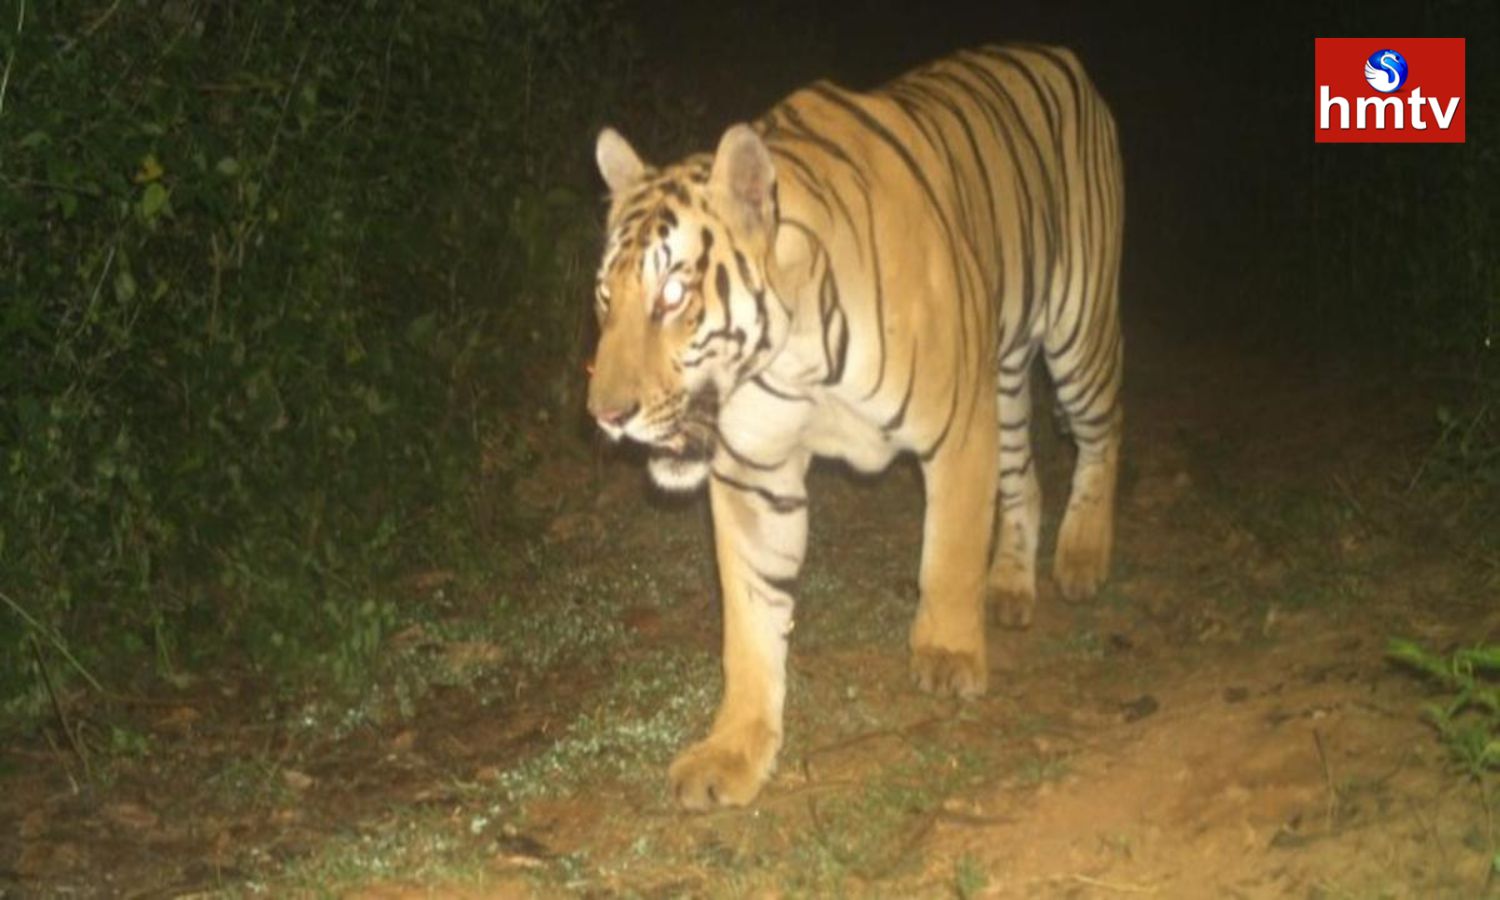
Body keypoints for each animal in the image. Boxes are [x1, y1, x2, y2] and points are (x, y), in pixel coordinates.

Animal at [587, 43, 1124, 810]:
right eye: (607, 296)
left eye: (673, 294)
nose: (604, 415)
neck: (793, 354)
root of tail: (1060, 55)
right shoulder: (755, 474)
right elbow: (750, 621)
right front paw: (734, 749)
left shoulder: (959, 425)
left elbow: (949, 552)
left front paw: (948, 655)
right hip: (1005, 375)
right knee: (1026, 478)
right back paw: (1011, 587)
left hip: (1076, 329)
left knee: (1103, 432)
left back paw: (1081, 557)